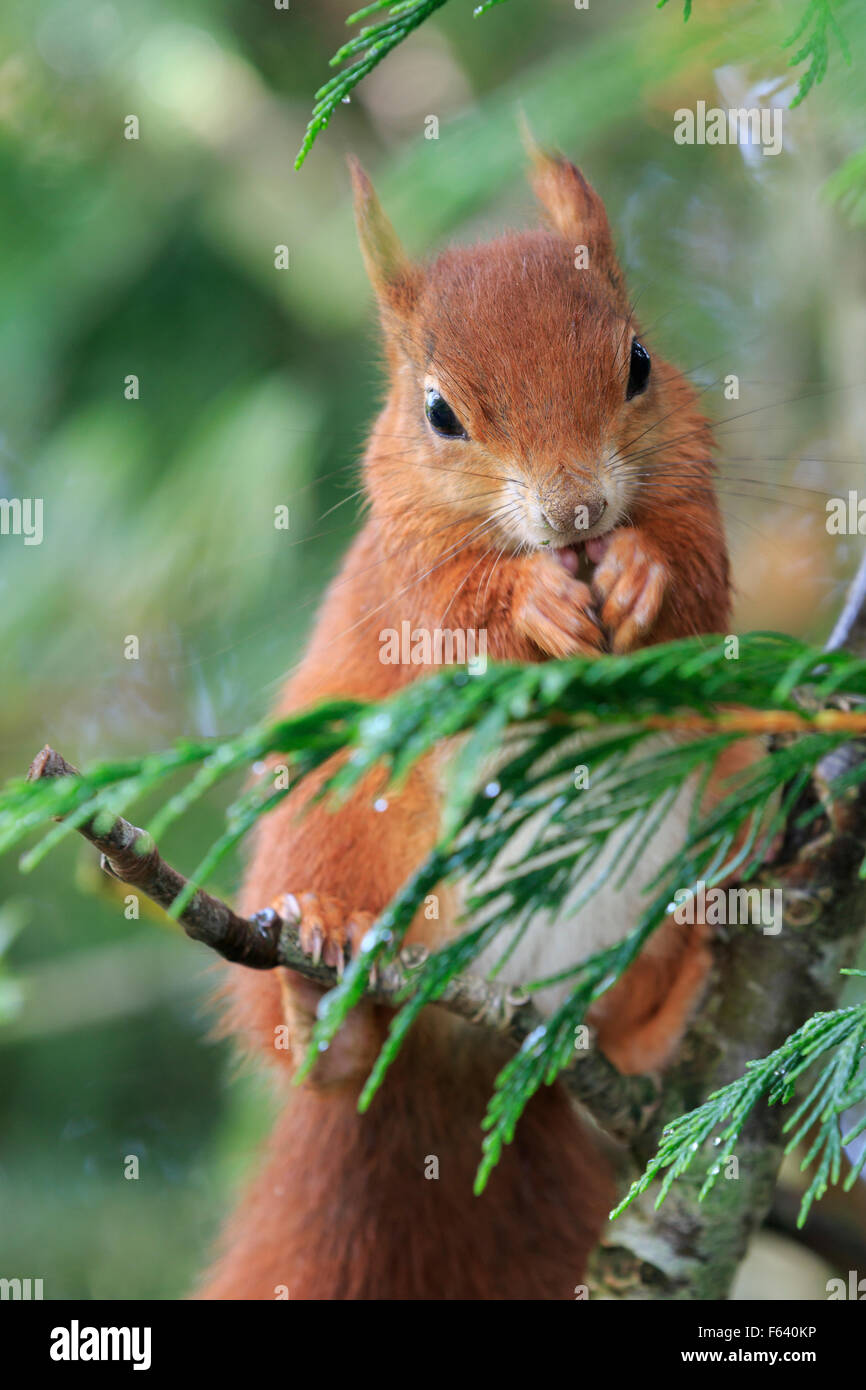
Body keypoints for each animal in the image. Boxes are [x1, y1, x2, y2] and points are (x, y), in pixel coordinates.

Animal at [196, 142, 733, 1301]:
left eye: (637, 361)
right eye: (439, 412)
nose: (578, 511)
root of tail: (470, 1046)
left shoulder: (693, 480)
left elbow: (695, 576)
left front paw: (637, 569)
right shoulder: (403, 567)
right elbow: (451, 620)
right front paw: (530, 603)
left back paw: (669, 1006)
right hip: (333, 821)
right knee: (318, 1056)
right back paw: (324, 990)